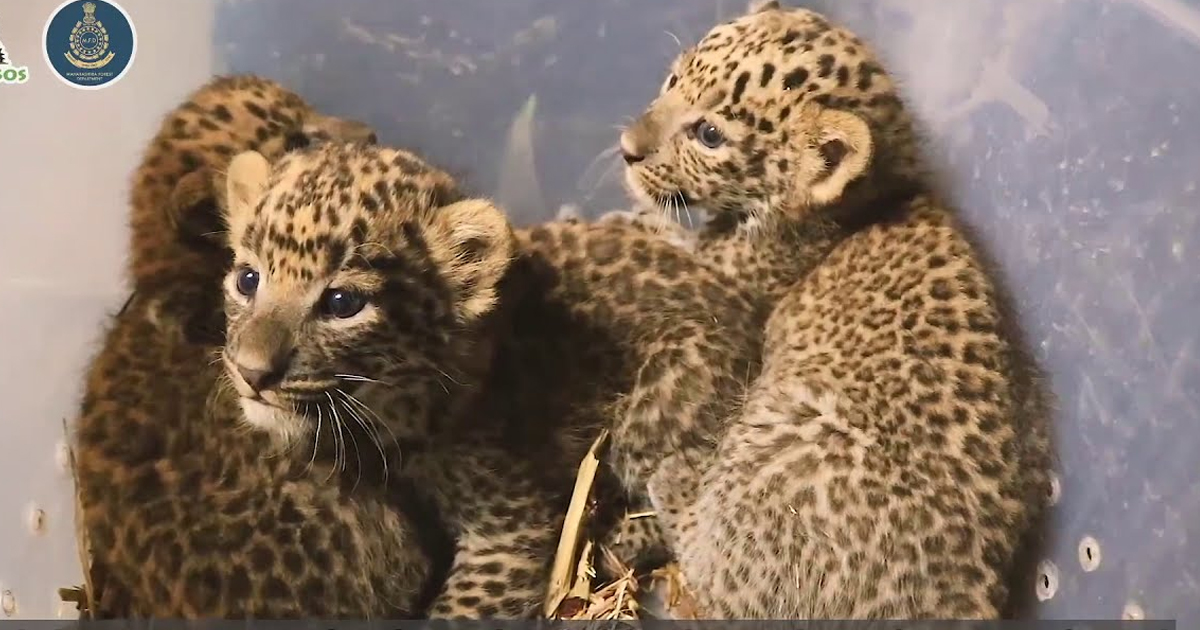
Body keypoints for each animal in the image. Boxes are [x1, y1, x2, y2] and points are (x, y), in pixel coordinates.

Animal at [614, 0, 1055, 619]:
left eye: (710, 134)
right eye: (674, 79)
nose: (627, 147)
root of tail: (960, 597)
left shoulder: (713, 280)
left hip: (782, 440)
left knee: (709, 564)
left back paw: (668, 484)